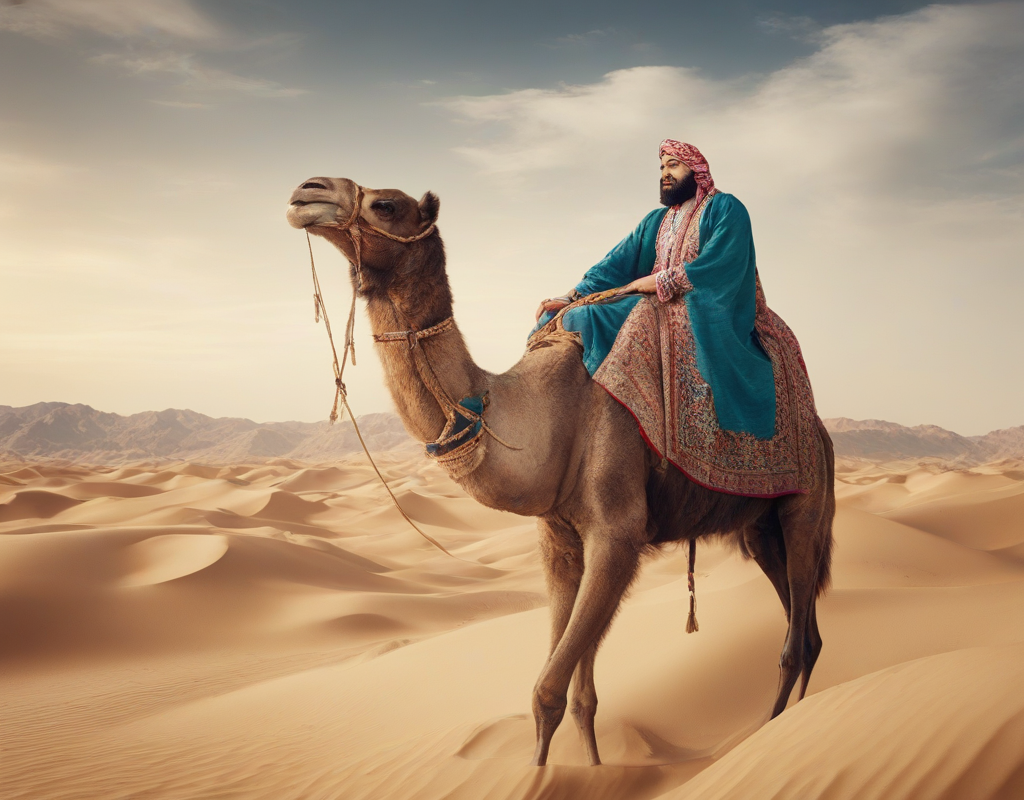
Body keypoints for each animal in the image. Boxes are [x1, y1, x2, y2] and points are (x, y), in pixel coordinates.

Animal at [286, 176, 836, 767]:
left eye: (385, 204)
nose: (306, 192)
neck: (548, 413)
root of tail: (823, 436)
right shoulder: (560, 539)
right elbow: (577, 696)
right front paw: (585, 770)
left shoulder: (617, 535)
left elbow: (549, 689)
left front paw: (541, 775)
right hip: (759, 530)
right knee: (806, 630)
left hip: (803, 509)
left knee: (795, 639)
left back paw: (773, 734)